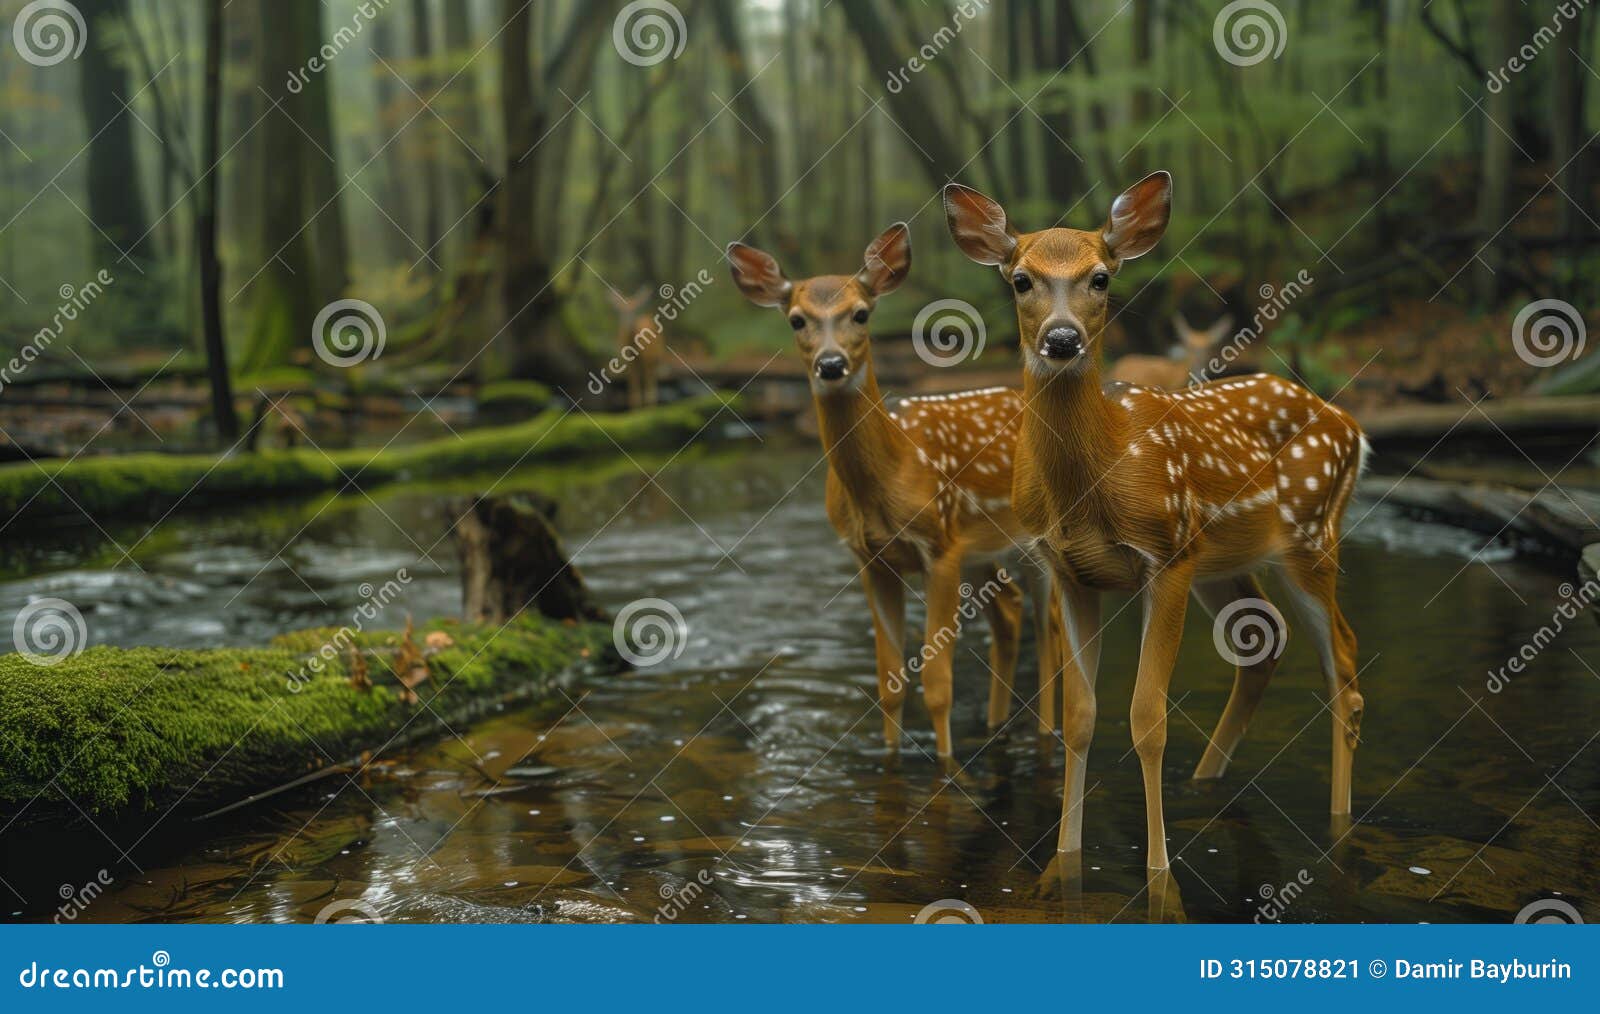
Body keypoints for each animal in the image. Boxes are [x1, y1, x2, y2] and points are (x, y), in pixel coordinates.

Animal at [727, 223, 1061, 759]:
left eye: (861, 313)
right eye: (797, 319)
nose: (831, 364)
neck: (888, 477)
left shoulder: (938, 548)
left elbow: (938, 685)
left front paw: (946, 761)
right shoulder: (871, 558)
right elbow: (889, 683)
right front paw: (891, 757)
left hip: (1036, 536)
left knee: (1049, 631)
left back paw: (1048, 735)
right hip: (983, 548)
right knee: (1009, 612)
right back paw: (995, 726)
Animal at [944, 173, 1369, 876]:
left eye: (1100, 277)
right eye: (1021, 279)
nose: (1062, 339)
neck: (1097, 479)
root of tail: (1351, 424)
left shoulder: (1165, 553)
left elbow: (1147, 718)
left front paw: (1159, 871)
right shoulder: (1069, 569)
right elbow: (1082, 716)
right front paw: (1065, 857)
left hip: (1309, 536)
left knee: (1343, 664)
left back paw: (1339, 824)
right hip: (1225, 561)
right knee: (1268, 644)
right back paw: (1208, 782)